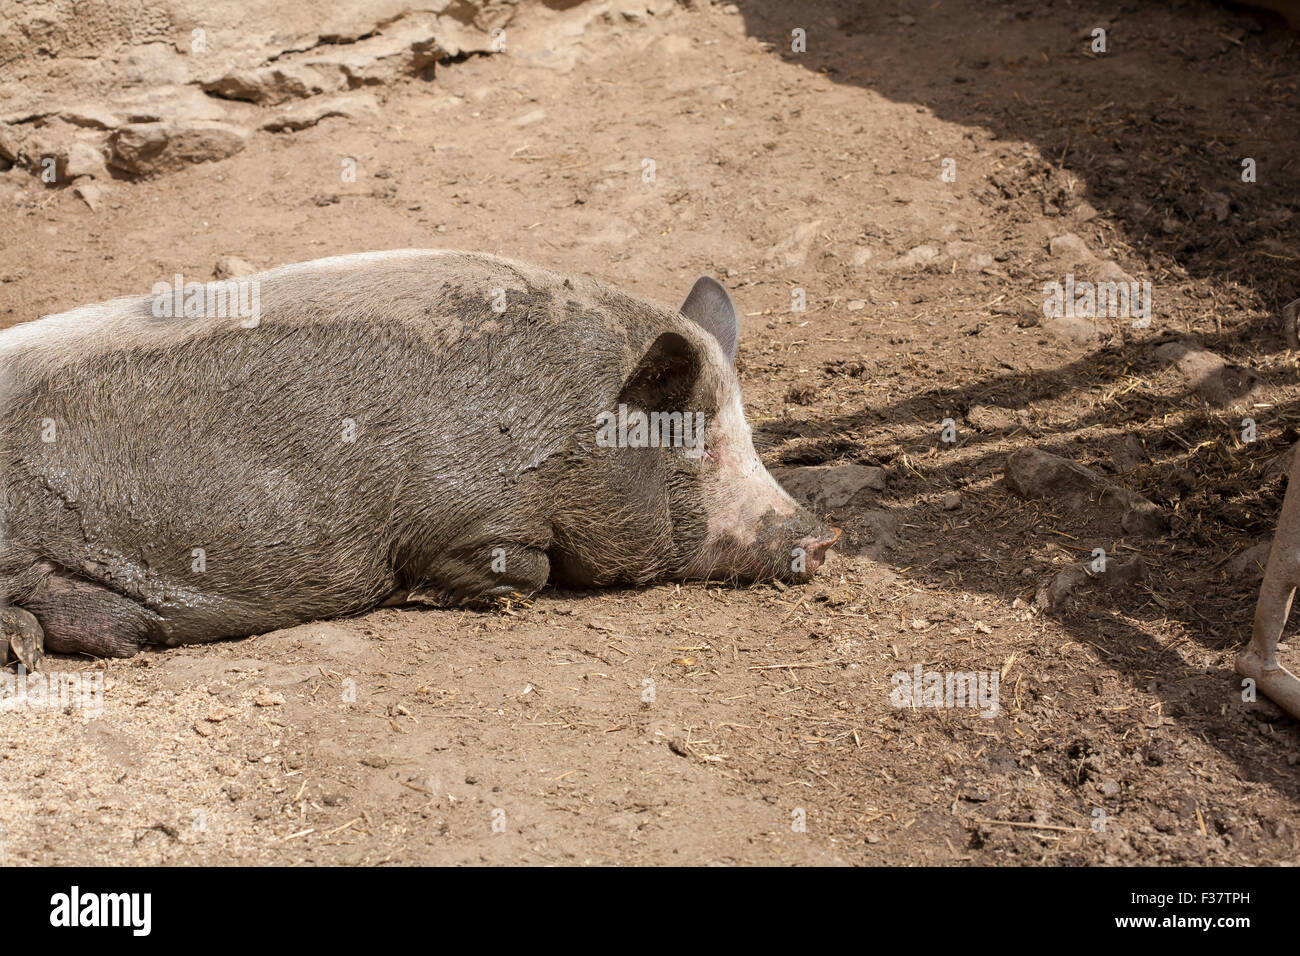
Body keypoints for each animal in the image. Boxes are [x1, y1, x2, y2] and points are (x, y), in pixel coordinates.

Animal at [0, 250, 839, 667]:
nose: (825, 534)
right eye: (701, 442)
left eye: (751, 431)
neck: (580, 419)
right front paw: (420, 598)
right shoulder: (463, 518)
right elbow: (523, 573)